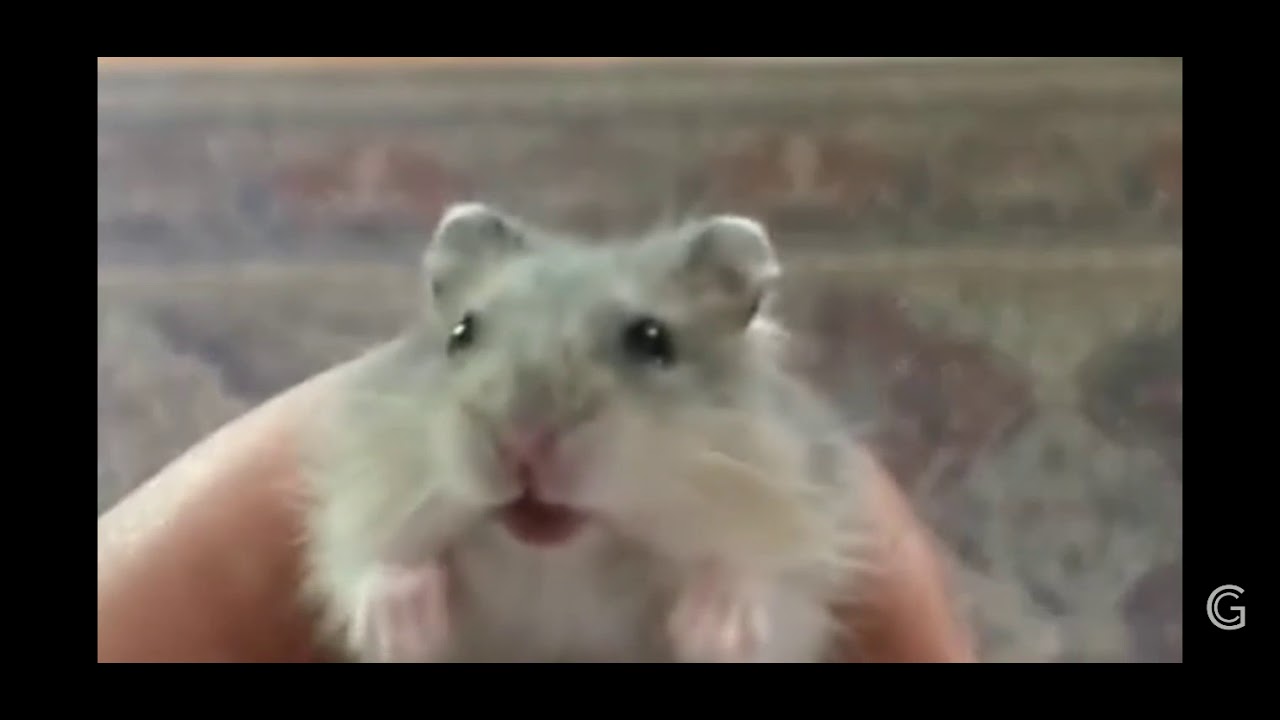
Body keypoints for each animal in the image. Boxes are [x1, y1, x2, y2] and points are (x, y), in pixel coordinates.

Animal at [298, 203, 880, 663]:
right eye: (461, 332)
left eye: (652, 338)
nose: (523, 444)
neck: (563, 563)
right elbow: (365, 559)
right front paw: (402, 612)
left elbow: (762, 583)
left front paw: (715, 620)